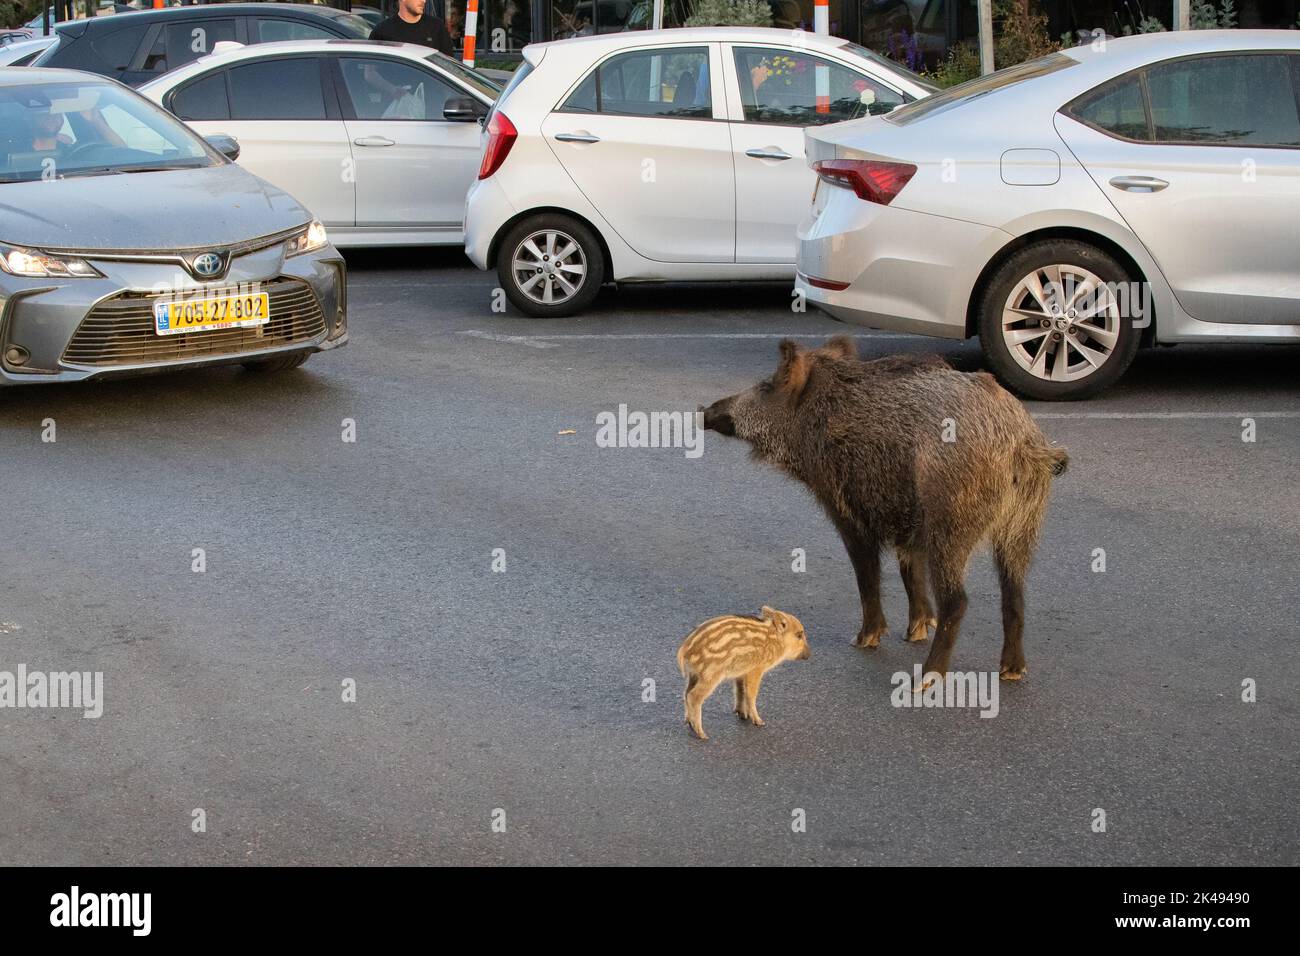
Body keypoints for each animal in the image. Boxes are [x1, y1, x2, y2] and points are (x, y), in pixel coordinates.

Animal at [701, 337, 1067, 683]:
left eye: (767, 386)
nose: (703, 410)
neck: (814, 418)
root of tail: (1023, 443)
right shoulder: (908, 519)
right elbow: (909, 570)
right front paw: (916, 631)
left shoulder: (847, 509)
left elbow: (867, 575)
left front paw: (863, 640)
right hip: (1022, 525)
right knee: (1015, 593)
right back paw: (1012, 670)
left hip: (951, 522)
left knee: (958, 601)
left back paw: (926, 678)